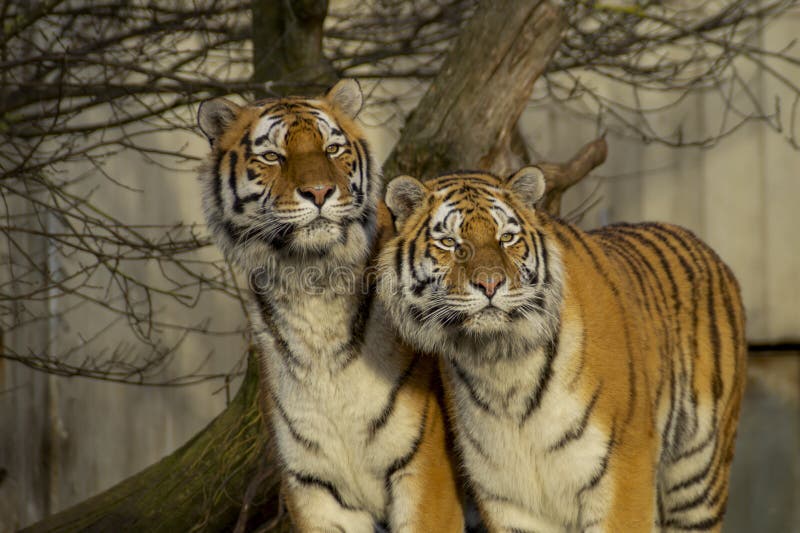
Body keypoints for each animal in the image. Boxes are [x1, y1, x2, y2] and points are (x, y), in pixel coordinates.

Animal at [196, 79, 464, 532]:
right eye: (272, 156)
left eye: (333, 149)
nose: (319, 192)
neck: (312, 285)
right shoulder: (315, 489)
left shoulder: (425, 472)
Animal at [375, 167, 746, 532]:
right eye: (450, 243)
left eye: (506, 238)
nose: (490, 284)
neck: (499, 365)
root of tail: (697, 240)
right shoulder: (507, 494)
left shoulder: (624, 467)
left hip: (697, 480)